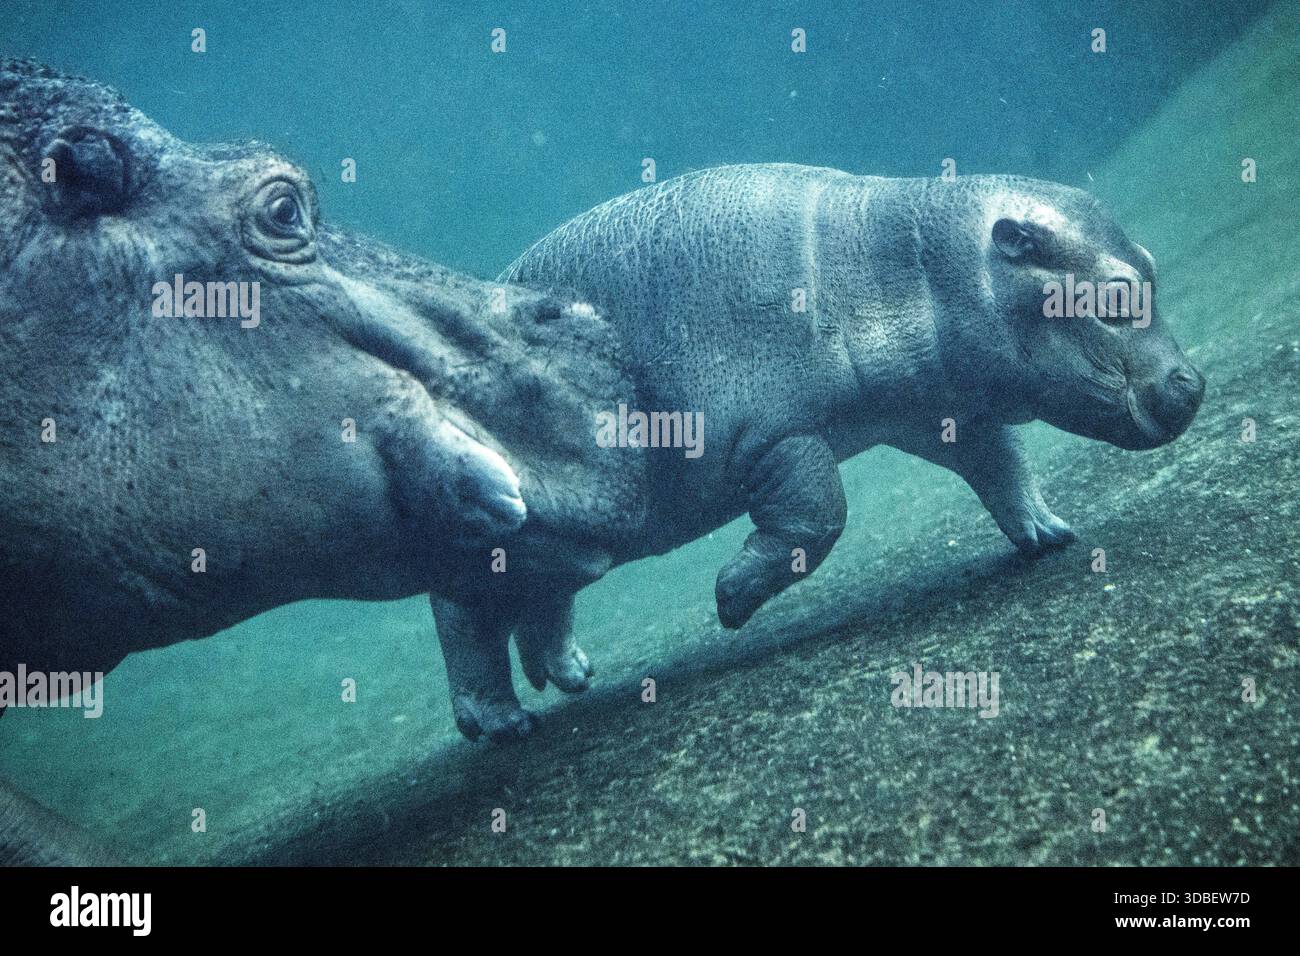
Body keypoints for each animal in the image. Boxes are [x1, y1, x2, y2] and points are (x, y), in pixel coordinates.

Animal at [425, 162, 1205, 740]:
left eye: (1151, 267)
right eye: (1112, 297)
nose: (1193, 386)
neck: (907, 259)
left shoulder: (942, 406)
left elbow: (1002, 465)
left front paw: (1049, 534)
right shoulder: (776, 435)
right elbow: (817, 516)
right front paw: (730, 602)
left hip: (564, 537)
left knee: (542, 598)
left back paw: (570, 674)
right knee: (463, 622)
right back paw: (502, 723)